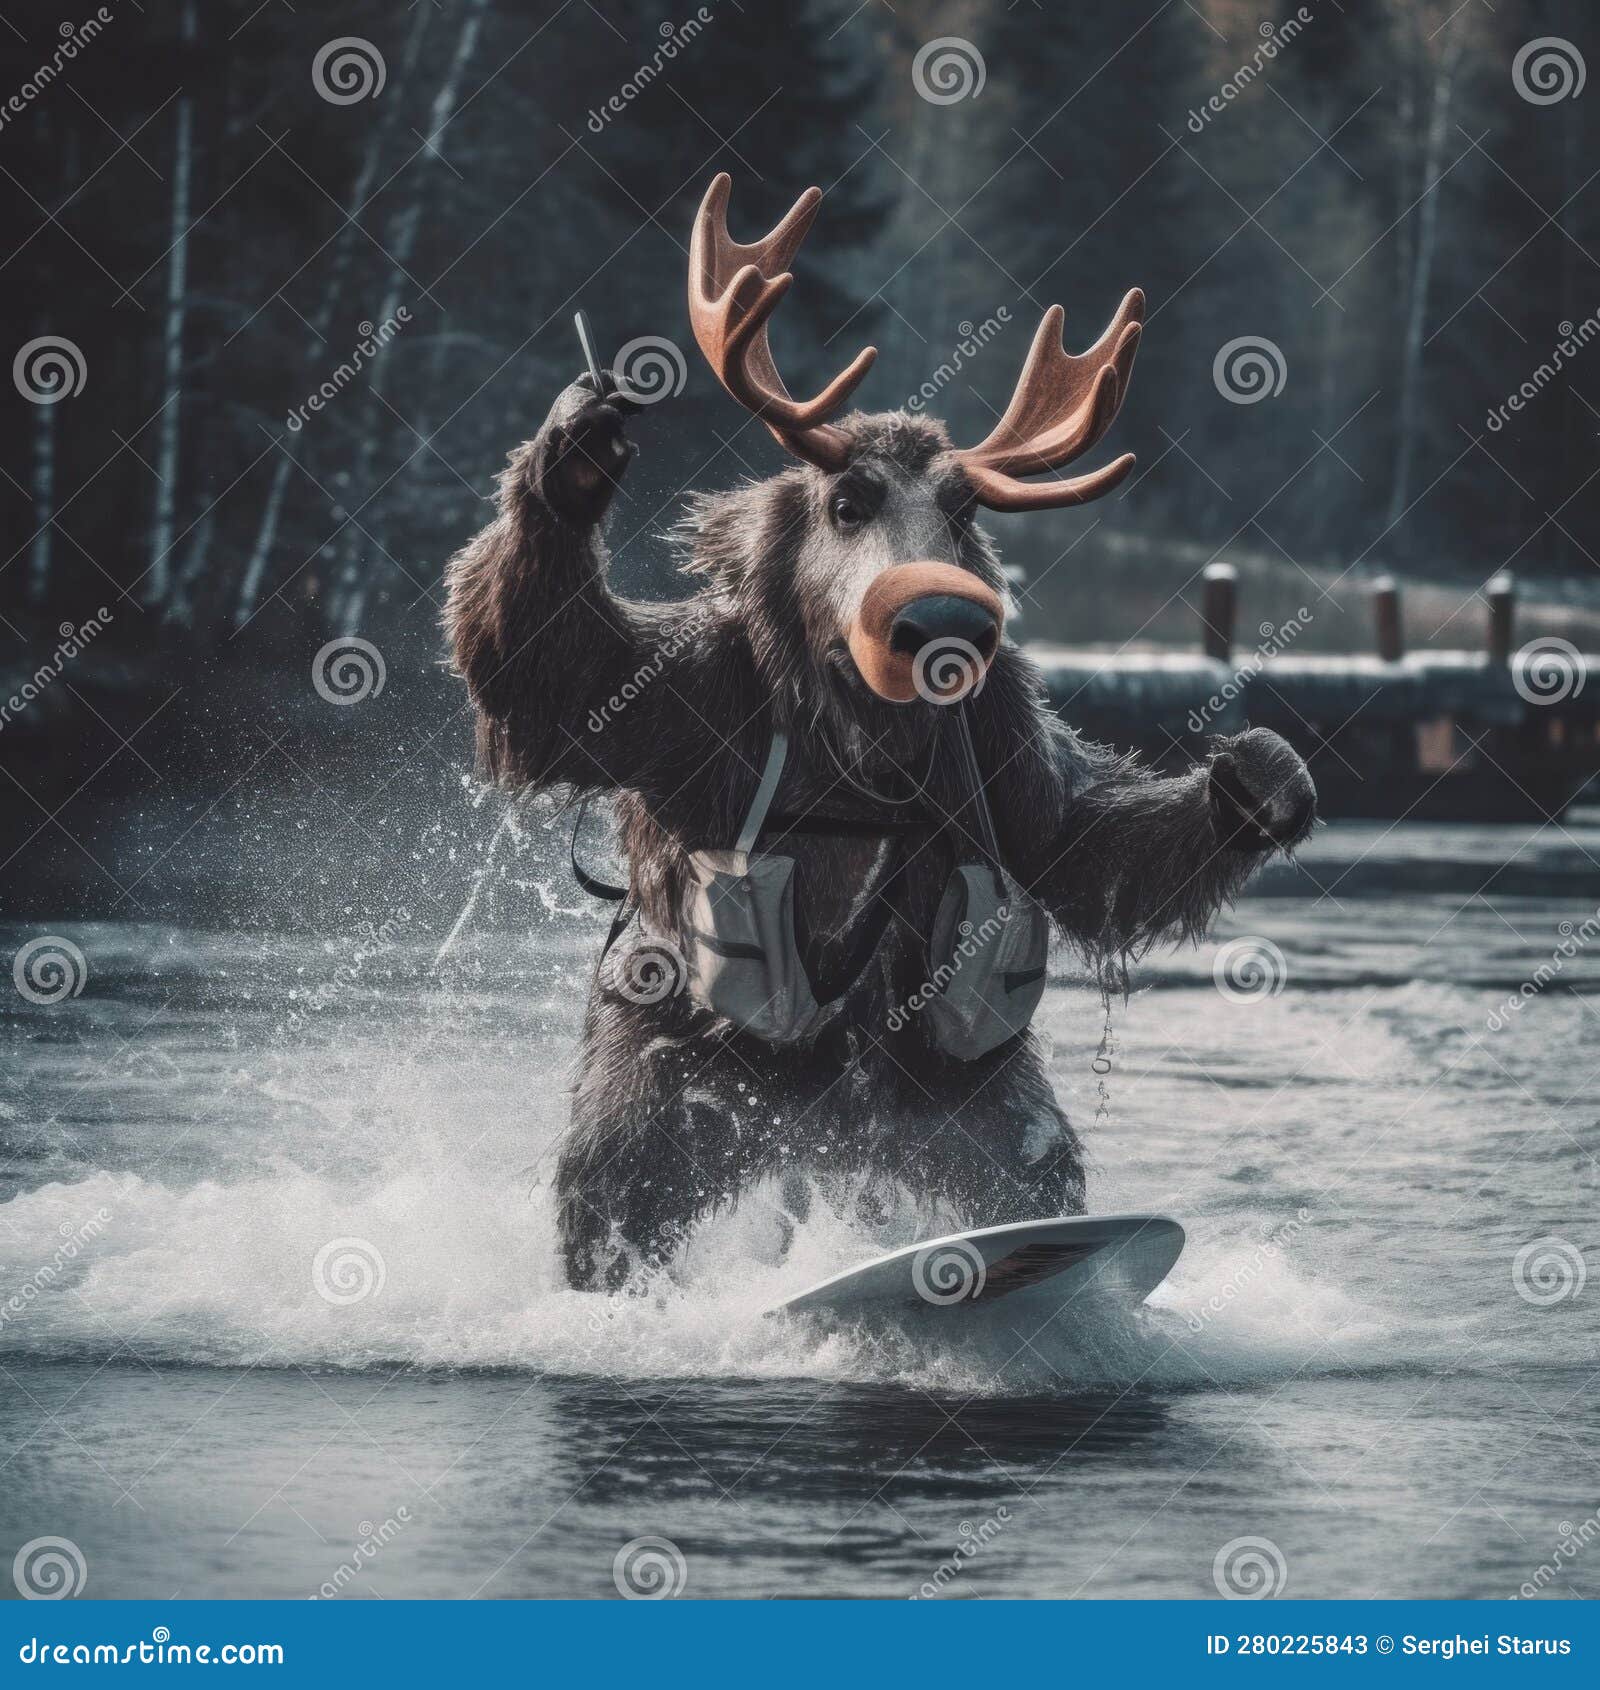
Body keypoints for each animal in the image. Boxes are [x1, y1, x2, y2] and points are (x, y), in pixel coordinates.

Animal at [444, 173, 1315, 1291]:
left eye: (962, 512)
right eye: (847, 500)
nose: (943, 618)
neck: (861, 755)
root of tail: (811, 1146)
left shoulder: (1013, 746)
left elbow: (1088, 845)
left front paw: (1260, 776)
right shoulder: (669, 697)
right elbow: (547, 673)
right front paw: (575, 453)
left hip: (972, 1114)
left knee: (1024, 1174)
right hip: (661, 1104)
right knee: (613, 1203)